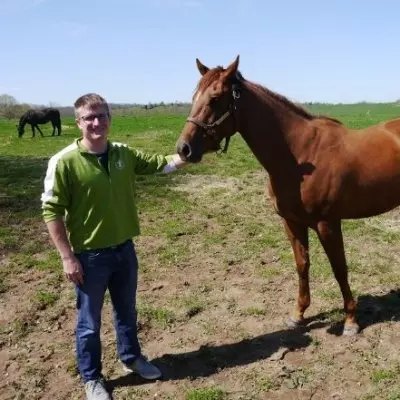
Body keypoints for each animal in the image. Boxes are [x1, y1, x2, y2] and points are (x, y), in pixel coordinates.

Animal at [176, 55, 400, 334]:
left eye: (215, 98)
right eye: (194, 96)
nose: (183, 149)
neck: (300, 154)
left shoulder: (327, 223)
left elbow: (339, 268)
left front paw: (350, 321)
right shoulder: (292, 222)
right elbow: (302, 264)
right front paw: (298, 314)